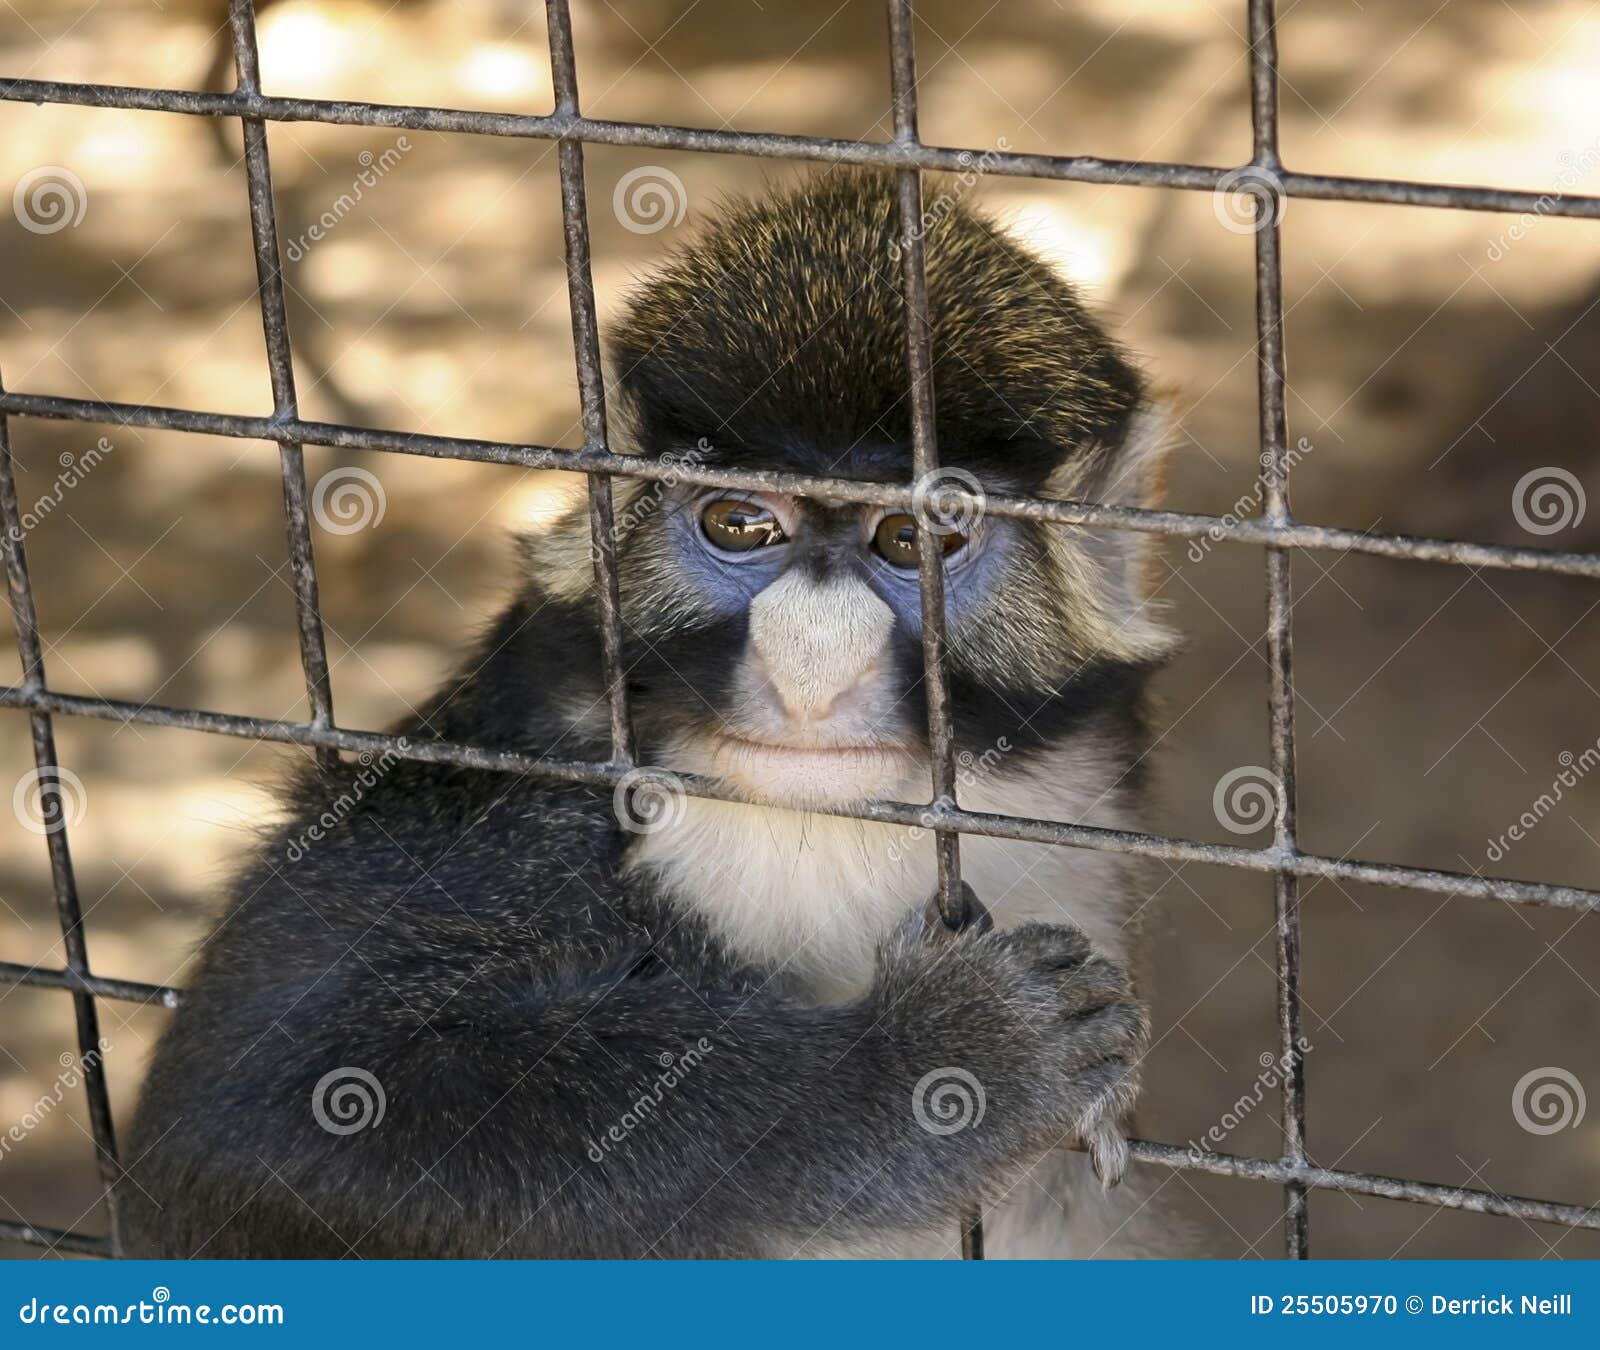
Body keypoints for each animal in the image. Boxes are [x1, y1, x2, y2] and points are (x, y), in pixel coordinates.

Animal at [119, 170, 1206, 1259]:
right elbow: (254, 1101)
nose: (809, 675)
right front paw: (921, 1065)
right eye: (739, 522)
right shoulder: (509, 798)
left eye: (913, 538)